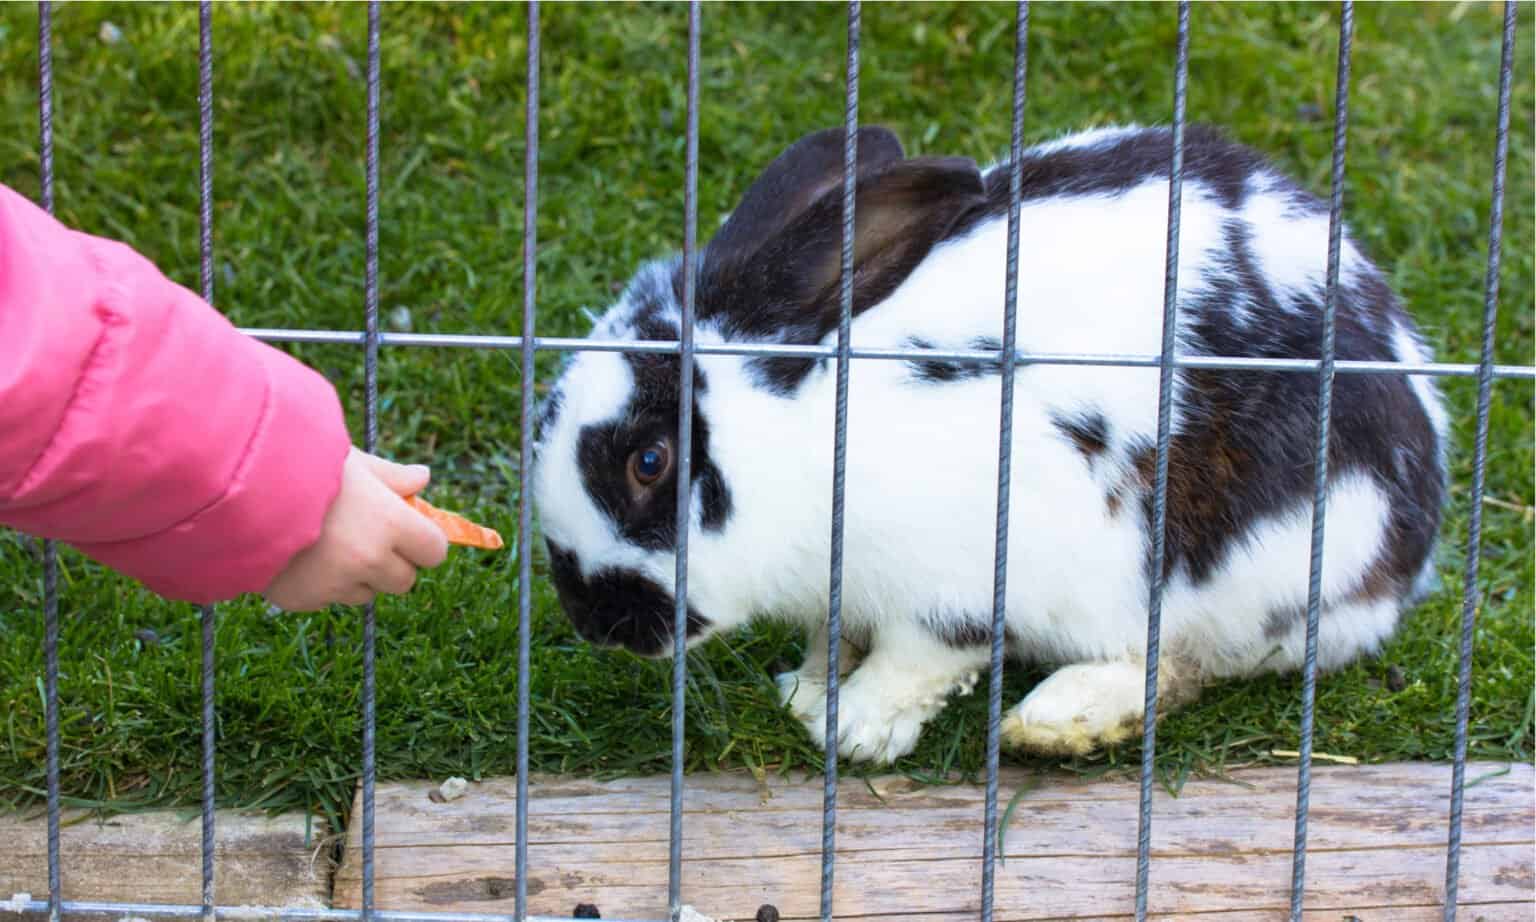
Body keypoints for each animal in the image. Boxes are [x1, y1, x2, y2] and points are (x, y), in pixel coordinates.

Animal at [529, 123, 1447, 765]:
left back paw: (1054, 722)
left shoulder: (962, 578)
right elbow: (835, 637)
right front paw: (803, 692)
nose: (593, 620)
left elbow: (919, 657)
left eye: (649, 462)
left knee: (1181, 665)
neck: (815, 433)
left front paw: (854, 728)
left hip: (1247, 574)